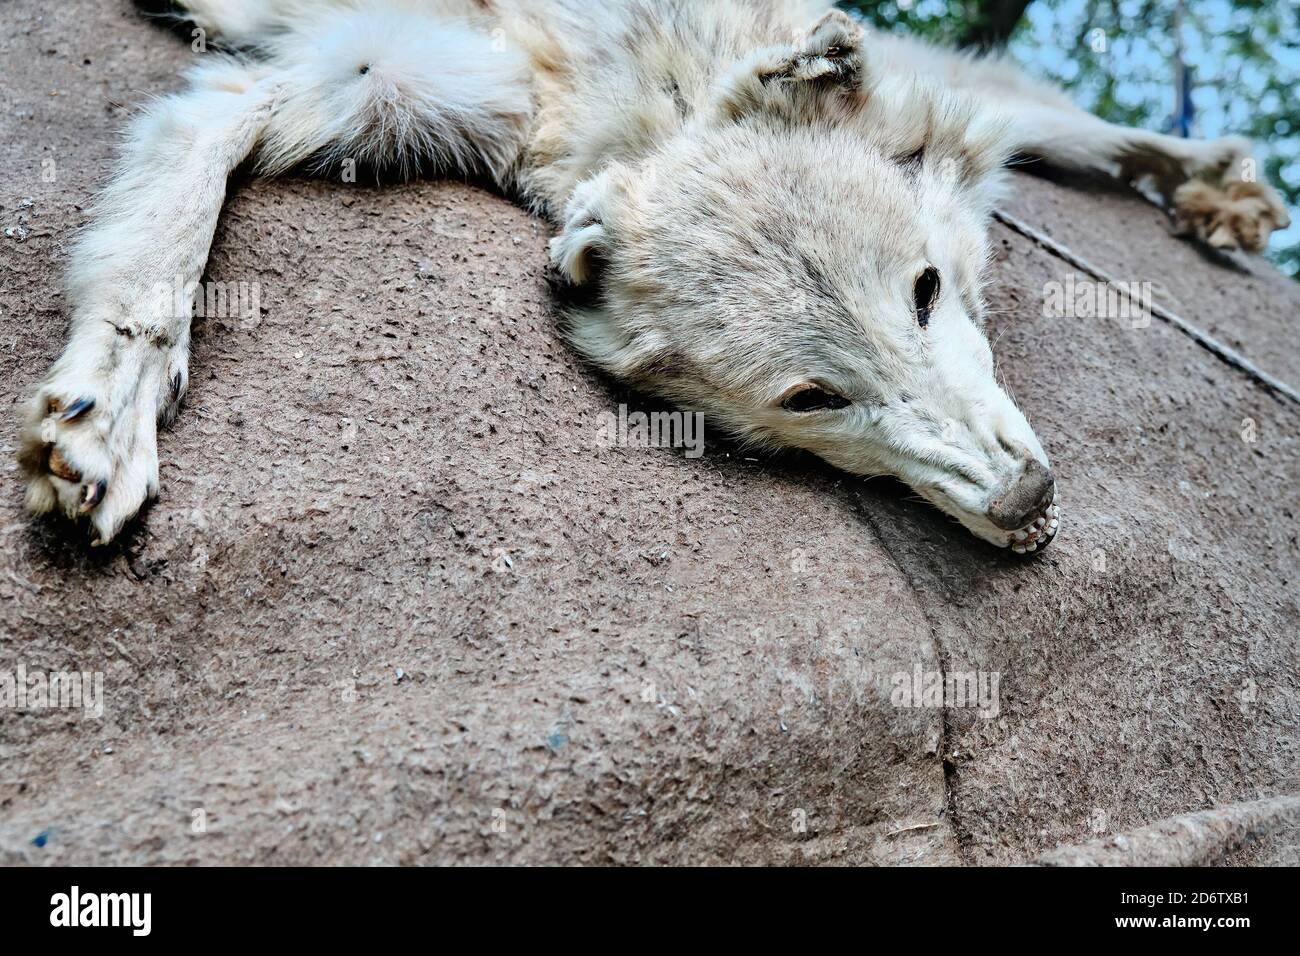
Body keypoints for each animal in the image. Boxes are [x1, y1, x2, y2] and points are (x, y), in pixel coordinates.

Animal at [18, 0, 1290, 553]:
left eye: (928, 291)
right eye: (810, 398)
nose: (1021, 499)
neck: (657, 91)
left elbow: (1036, 120)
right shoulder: (361, 78)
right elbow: (167, 232)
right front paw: (105, 416)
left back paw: (1218, 187)